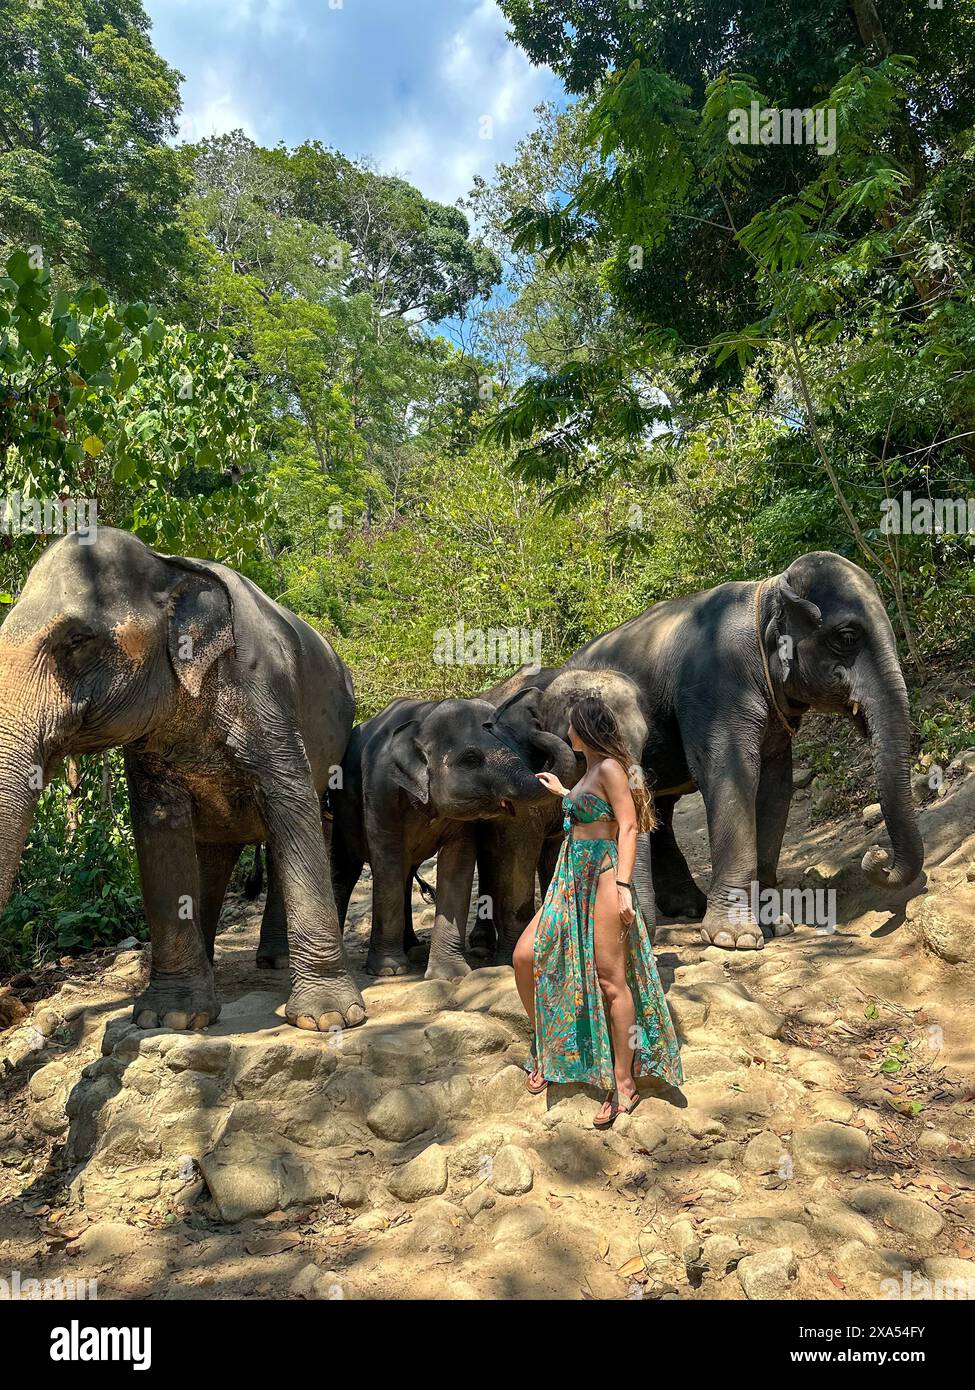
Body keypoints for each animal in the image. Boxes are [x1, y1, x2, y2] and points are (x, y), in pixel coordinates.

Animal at [0, 527, 361, 1031]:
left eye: (76, 638)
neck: (167, 565)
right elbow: (160, 828)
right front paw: (172, 1017)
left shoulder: (266, 693)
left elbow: (291, 804)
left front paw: (331, 1018)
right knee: (216, 851)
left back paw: (275, 961)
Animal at [330, 687, 575, 979]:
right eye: (471, 759)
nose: (534, 697)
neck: (423, 718)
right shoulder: (380, 792)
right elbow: (387, 863)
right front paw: (389, 970)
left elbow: (458, 864)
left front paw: (451, 975)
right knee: (346, 870)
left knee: (406, 874)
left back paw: (413, 946)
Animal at [479, 551, 925, 955]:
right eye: (847, 637)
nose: (877, 856)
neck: (765, 593)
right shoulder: (715, 689)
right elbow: (728, 773)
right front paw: (735, 938)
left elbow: (776, 785)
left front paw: (774, 926)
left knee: (661, 806)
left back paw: (686, 906)